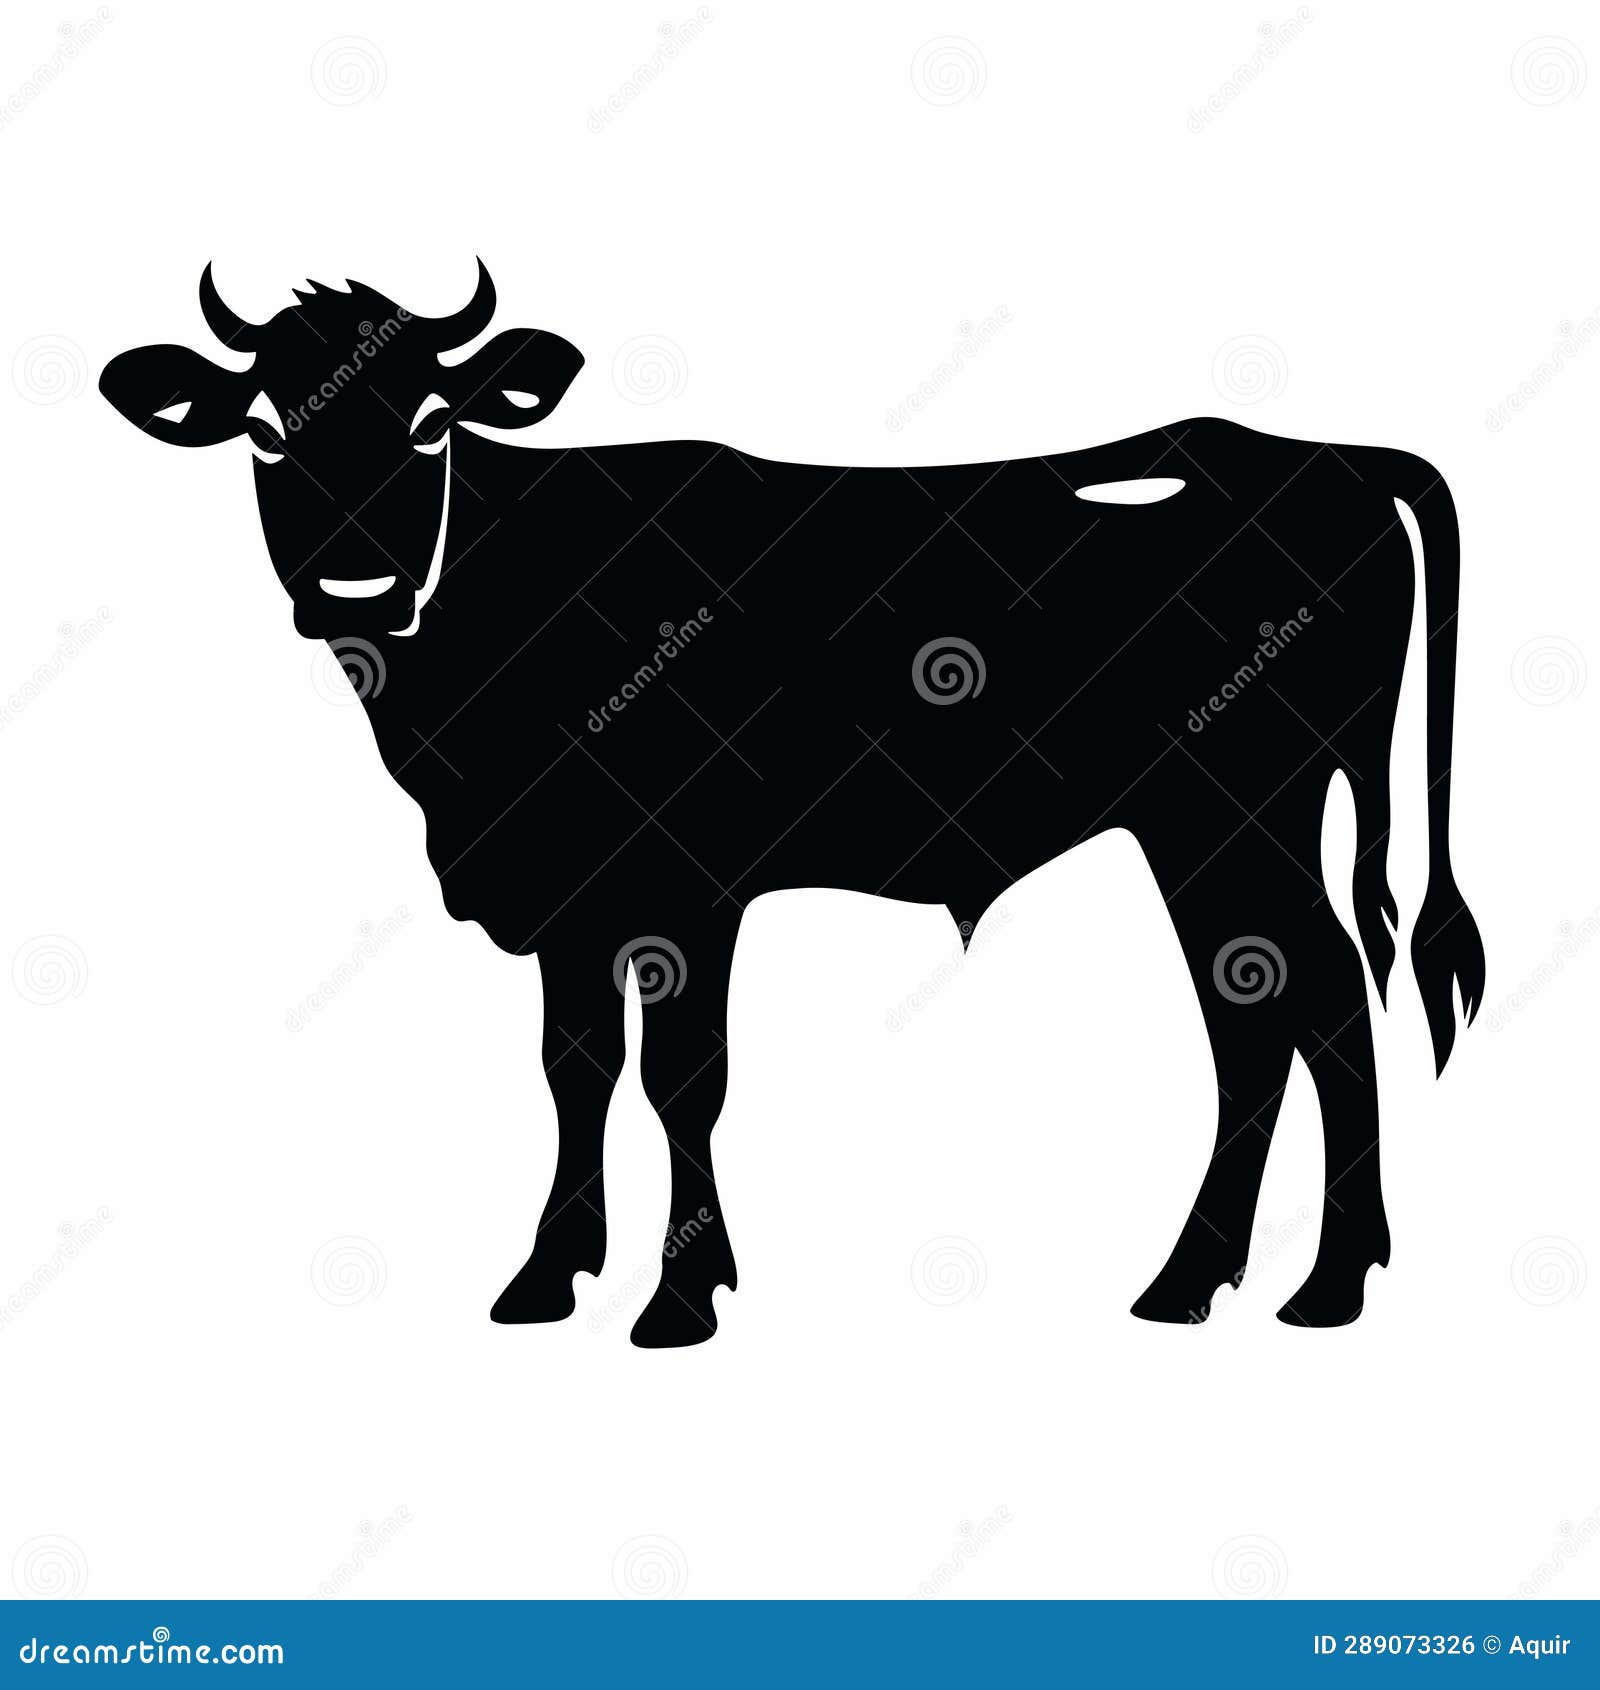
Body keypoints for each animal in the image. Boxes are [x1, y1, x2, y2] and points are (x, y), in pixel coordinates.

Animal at [100, 262, 1485, 1346]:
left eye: (433, 422)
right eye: (264, 433)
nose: (357, 587)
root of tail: (1318, 457)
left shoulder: (687, 883)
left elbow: (683, 1077)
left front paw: (679, 1298)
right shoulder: (566, 896)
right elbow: (573, 1070)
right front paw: (548, 1276)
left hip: (1237, 807)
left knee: (1314, 998)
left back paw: (1324, 1285)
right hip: (1207, 825)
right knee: (1259, 1012)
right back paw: (1195, 1282)